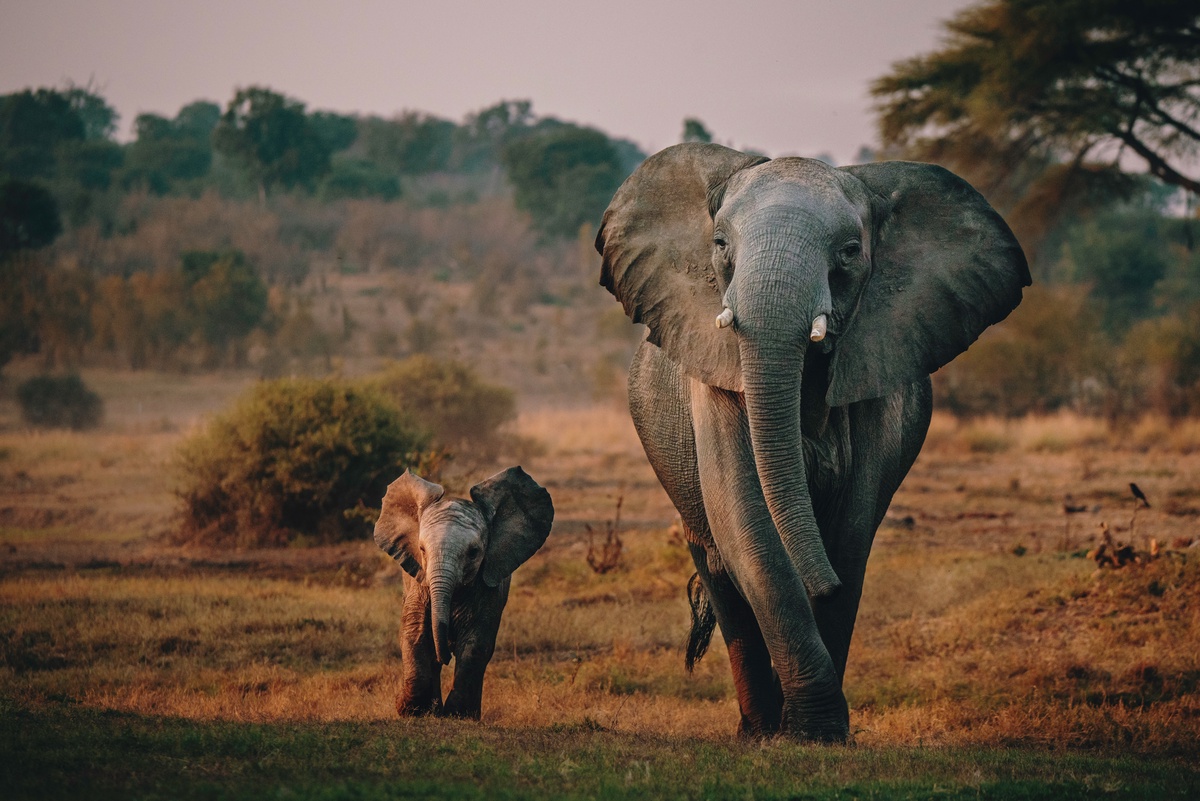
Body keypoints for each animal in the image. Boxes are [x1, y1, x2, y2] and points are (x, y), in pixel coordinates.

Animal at [373, 466, 554, 719]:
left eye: (473, 552)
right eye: (422, 550)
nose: (446, 655)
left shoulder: (488, 587)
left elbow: (475, 641)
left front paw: (459, 714)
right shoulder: (418, 583)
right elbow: (415, 633)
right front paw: (410, 710)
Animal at [595, 143, 1029, 741]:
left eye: (849, 252)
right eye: (720, 245)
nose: (821, 583)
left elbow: (849, 530)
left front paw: (819, 734)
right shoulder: (716, 377)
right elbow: (746, 522)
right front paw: (807, 728)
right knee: (719, 567)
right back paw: (757, 730)